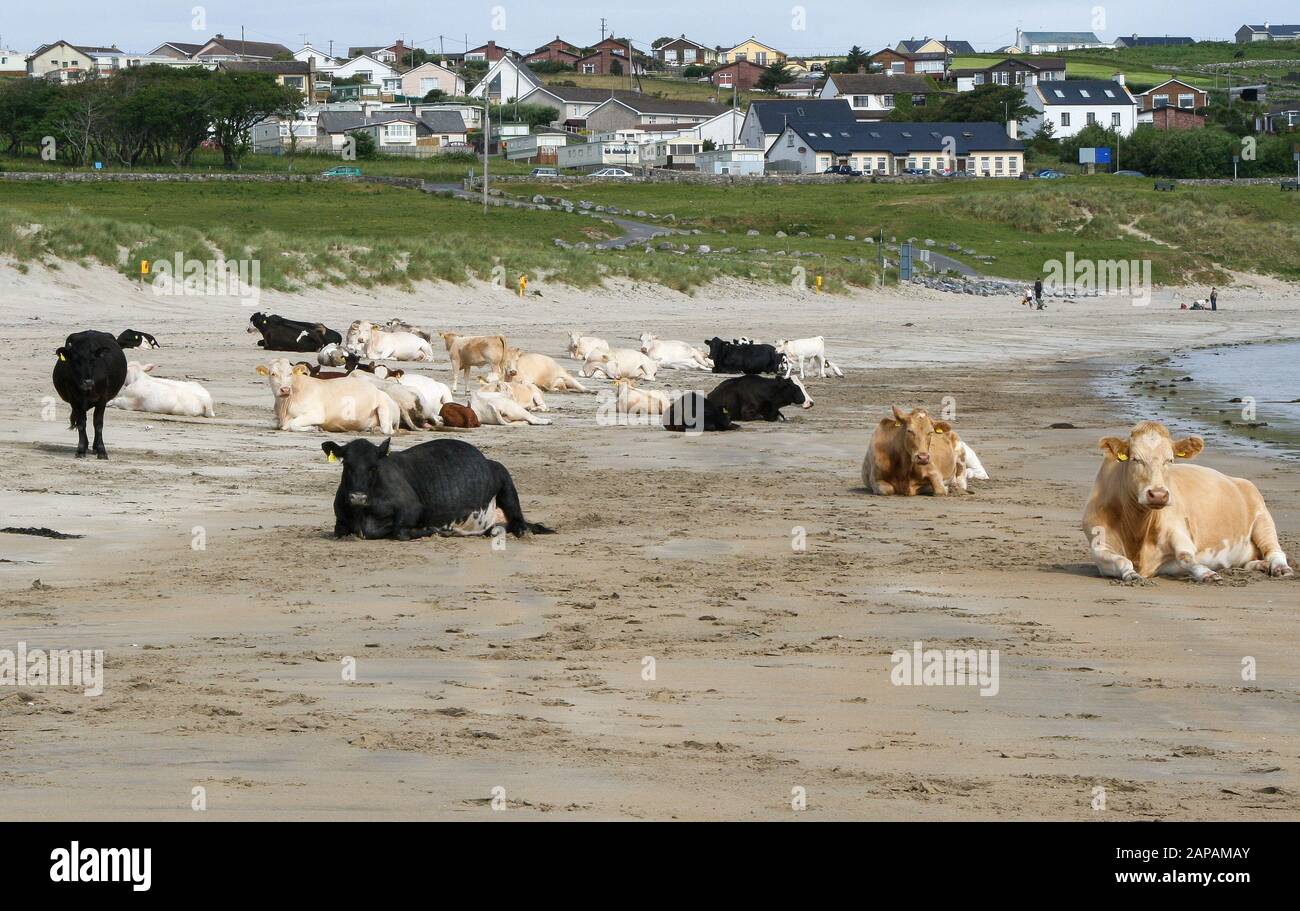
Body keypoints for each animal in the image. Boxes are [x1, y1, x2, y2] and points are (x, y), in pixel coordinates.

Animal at [52, 330, 128, 459]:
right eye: (76, 361)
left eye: (93, 360)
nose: (88, 382)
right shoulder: (75, 400)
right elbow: (81, 423)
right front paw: (80, 450)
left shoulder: (102, 399)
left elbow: (98, 424)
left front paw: (101, 450)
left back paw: (95, 447)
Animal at [256, 359, 398, 434]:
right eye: (273, 374)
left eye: (290, 373)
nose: (285, 389)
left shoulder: (316, 414)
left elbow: (292, 425)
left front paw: (315, 428)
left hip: (384, 408)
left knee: (387, 430)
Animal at [321, 437, 553, 540]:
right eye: (346, 464)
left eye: (373, 467)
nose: (358, 496)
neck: (363, 513)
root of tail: (487, 460)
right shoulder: (340, 522)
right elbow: (339, 531)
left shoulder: (413, 508)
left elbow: (399, 531)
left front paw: (431, 530)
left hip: (505, 478)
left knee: (518, 521)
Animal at [1083, 421, 1293, 583]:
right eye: (1135, 459)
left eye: (1170, 460)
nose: (1158, 494)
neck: (1137, 528)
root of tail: (1240, 480)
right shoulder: (1099, 545)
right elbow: (1121, 561)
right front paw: (1131, 574)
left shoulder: (1179, 529)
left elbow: (1186, 556)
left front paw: (1208, 574)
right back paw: (1260, 564)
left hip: (1263, 519)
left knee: (1275, 550)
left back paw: (1280, 568)